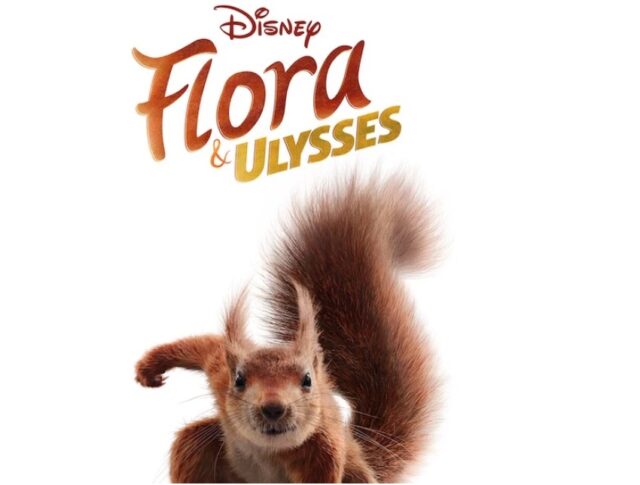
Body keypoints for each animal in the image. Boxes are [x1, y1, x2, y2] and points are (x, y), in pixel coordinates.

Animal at [135, 174, 438, 483]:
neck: (269, 450)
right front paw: (150, 367)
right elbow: (204, 345)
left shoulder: (323, 450)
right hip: (199, 445)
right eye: (239, 379)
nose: (273, 407)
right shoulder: (218, 370)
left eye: (307, 380)